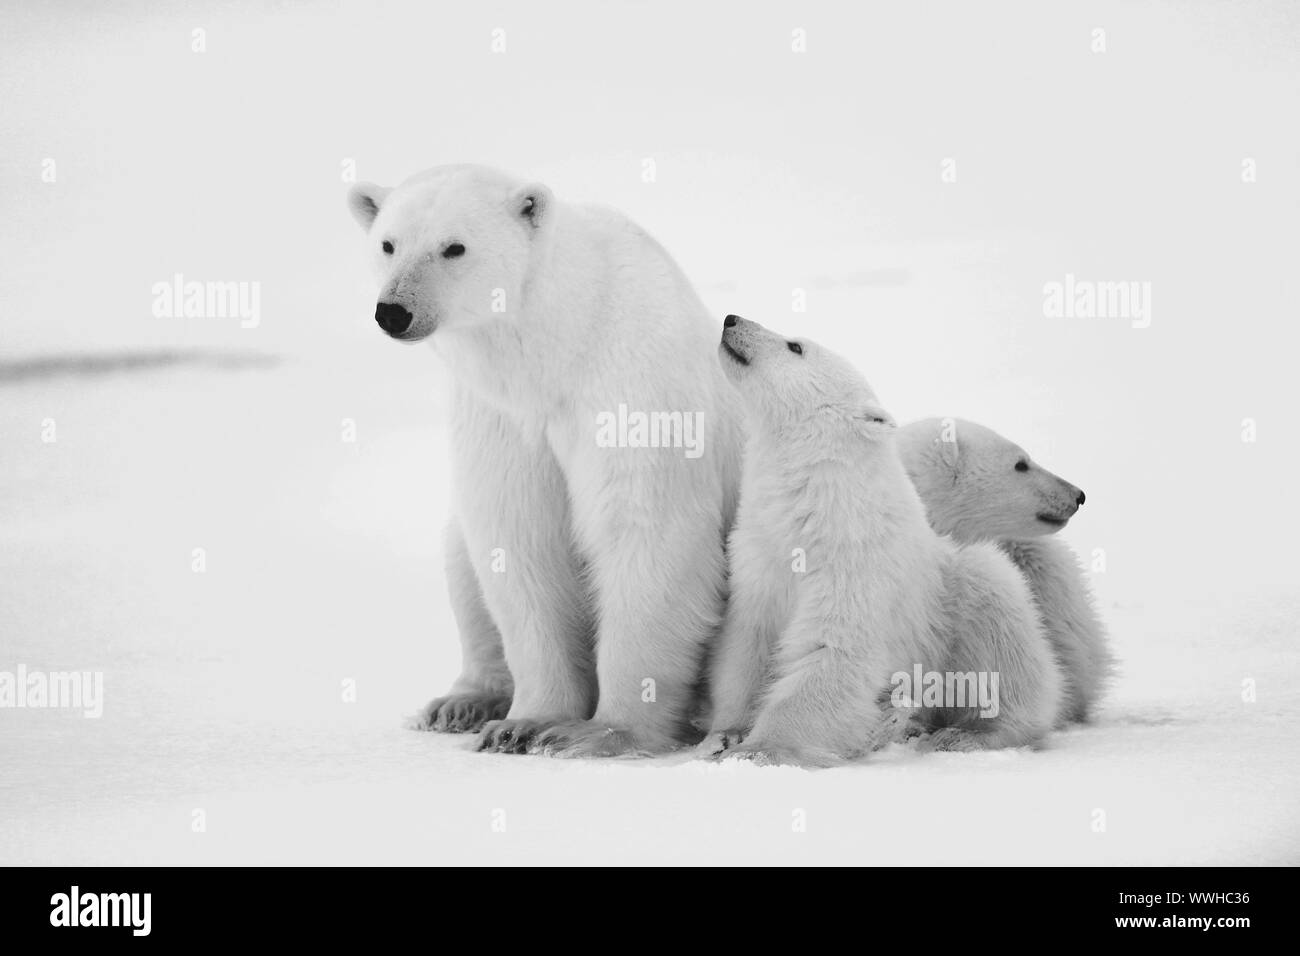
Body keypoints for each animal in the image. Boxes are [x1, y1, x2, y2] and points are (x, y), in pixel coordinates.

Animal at [347, 165, 744, 756]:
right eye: (388, 244)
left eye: (454, 247)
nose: (394, 311)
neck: (559, 348)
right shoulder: (502, 417)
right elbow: (519, 540)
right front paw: (523, 724)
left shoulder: (631, 385)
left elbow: (645, 534)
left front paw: (600, 732)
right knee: (460, 558)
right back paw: (462, 702)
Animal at [701, 315, 1061, 766]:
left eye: (795, 346)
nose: (732, 319)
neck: (816, 506)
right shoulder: (758, 555)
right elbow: (747, 643)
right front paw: (724, 735)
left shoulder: (854, 564)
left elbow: (834, 650)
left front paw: (758, 750)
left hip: (962, 597)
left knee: (1002, 646)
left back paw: (961, 734)